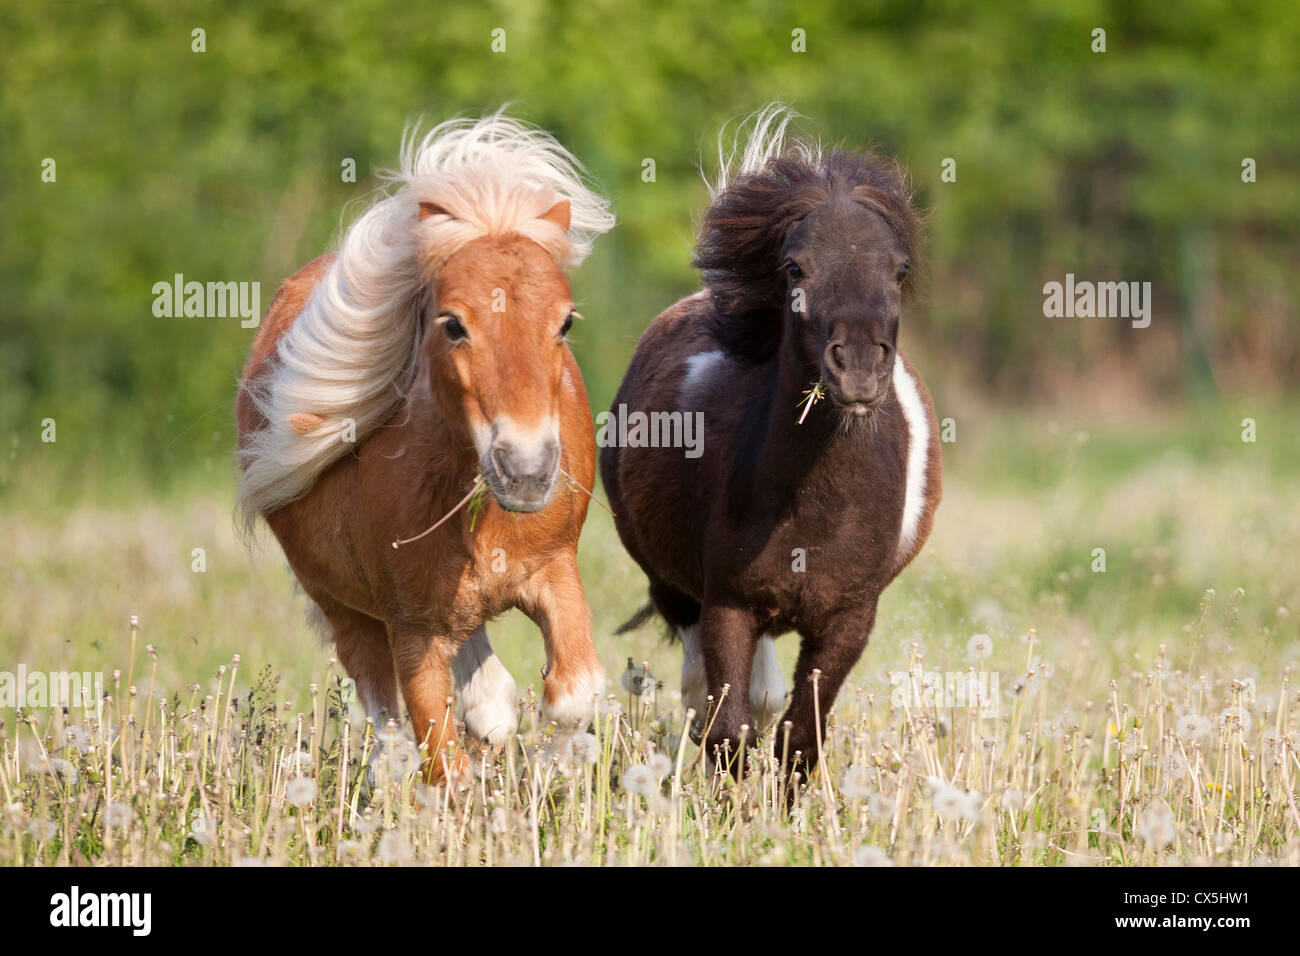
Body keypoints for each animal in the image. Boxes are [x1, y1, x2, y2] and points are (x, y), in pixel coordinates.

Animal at [236, 111, 614, 781]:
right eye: (453, 323)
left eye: (565, 322)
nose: (526, 470)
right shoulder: (409, 630)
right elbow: (440, 758)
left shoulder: (555, 571)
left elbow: (573, 696)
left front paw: (555, 772)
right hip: (345, 608)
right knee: (384, 712)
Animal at [599, 107, 941, 783]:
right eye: (794, 268)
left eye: (898, 270)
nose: (858, 369)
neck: (815, 510)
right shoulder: (727, 605)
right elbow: (729, 732)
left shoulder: (848, 620)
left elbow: (800, 740)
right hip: (675, 589)